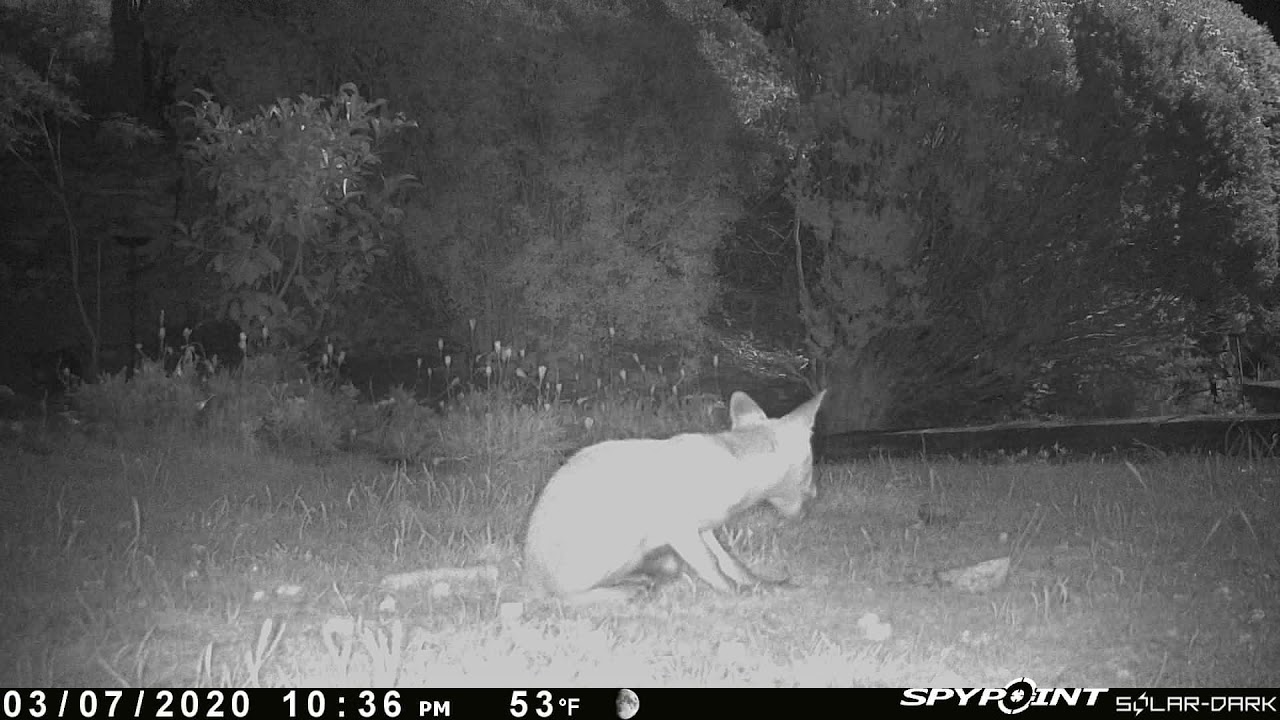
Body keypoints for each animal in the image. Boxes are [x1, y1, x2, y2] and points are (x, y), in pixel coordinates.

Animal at [523, 389, 827, 605]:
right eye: (809, 468)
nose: (816, 494)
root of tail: (532, 573)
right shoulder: (680, 528)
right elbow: (713, 567)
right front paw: (742, 594)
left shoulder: (703, 529)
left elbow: (730, 562)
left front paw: (764, 584)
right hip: (620, 541)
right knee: (561, 596)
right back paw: (630, 592)